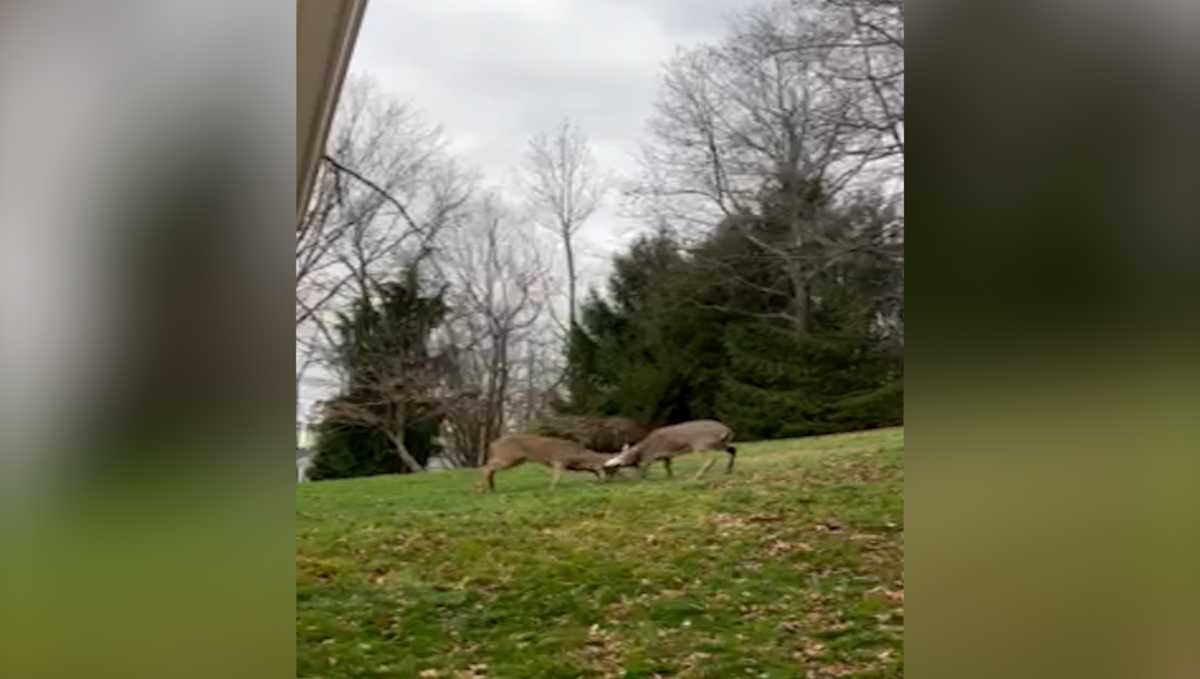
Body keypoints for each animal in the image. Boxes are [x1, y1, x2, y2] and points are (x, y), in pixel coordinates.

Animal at [480, 434, 621, 492]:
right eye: (613, 469)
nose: (612, 480)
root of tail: (493, 444)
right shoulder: (559, 461)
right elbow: (557, 476)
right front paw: (551, 488)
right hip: (509, 457)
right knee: (486, 466)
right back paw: (483, 489)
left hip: (515, 460)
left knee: (491, 468)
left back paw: (492, 487)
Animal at [603, 419, 737, 481]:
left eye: (622, 456)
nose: (607, 464)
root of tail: (726, 430)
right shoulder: (666, 455)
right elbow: (667, 466)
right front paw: (670, 476)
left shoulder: (649, 455)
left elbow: (644, 468)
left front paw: (640, 478)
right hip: (720, 443)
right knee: (733, 449)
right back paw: (728, 470)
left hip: (701, 443)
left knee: (711, 459)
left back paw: (697, 476)